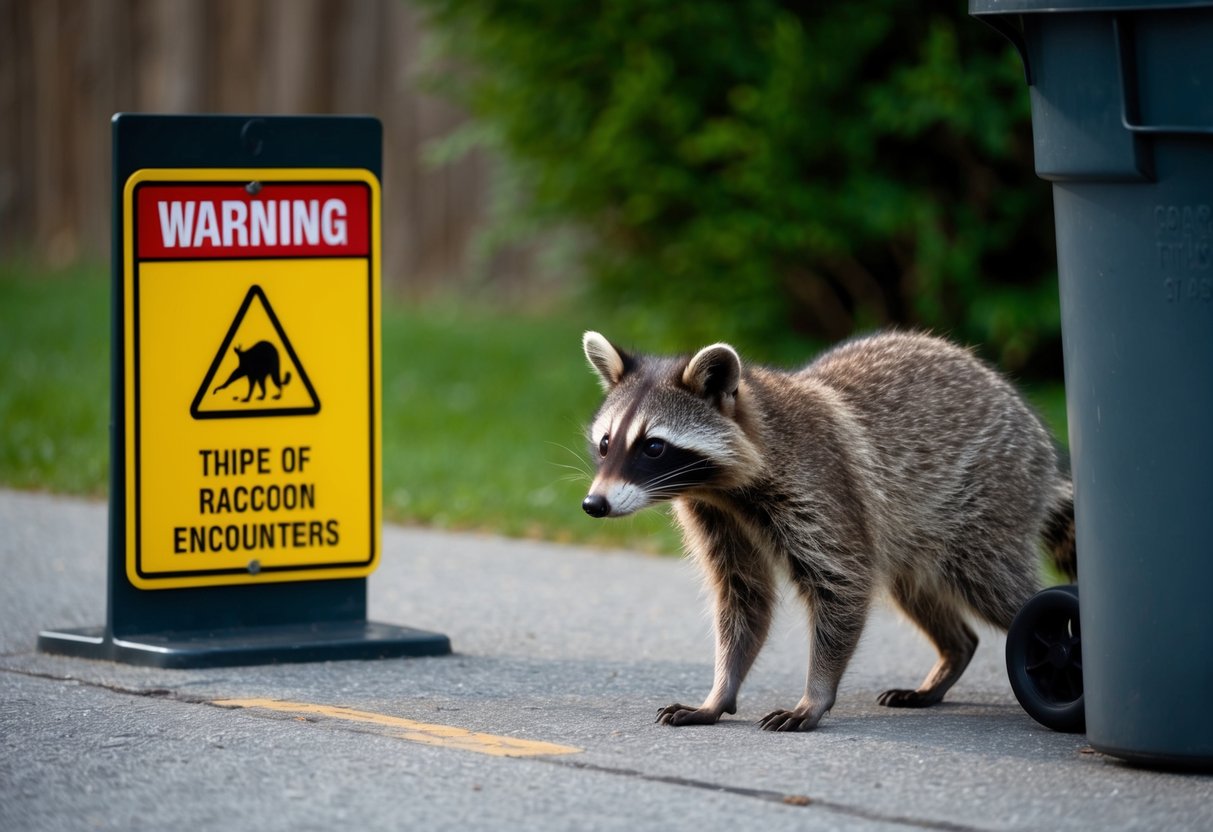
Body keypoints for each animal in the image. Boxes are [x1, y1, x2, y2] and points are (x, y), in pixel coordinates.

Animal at [580, 330, 1075, 731]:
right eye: (605, 444)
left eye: (653, 447)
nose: (593, 505)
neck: (722, 487)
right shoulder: (716, 516)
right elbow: (743, 596)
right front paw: (718, 693)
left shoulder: (820, 487)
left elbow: (842, 582)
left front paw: (815, 695)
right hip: (912, 533)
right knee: (912, 588)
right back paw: (954, 652)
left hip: (988, 501)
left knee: (997, 587)